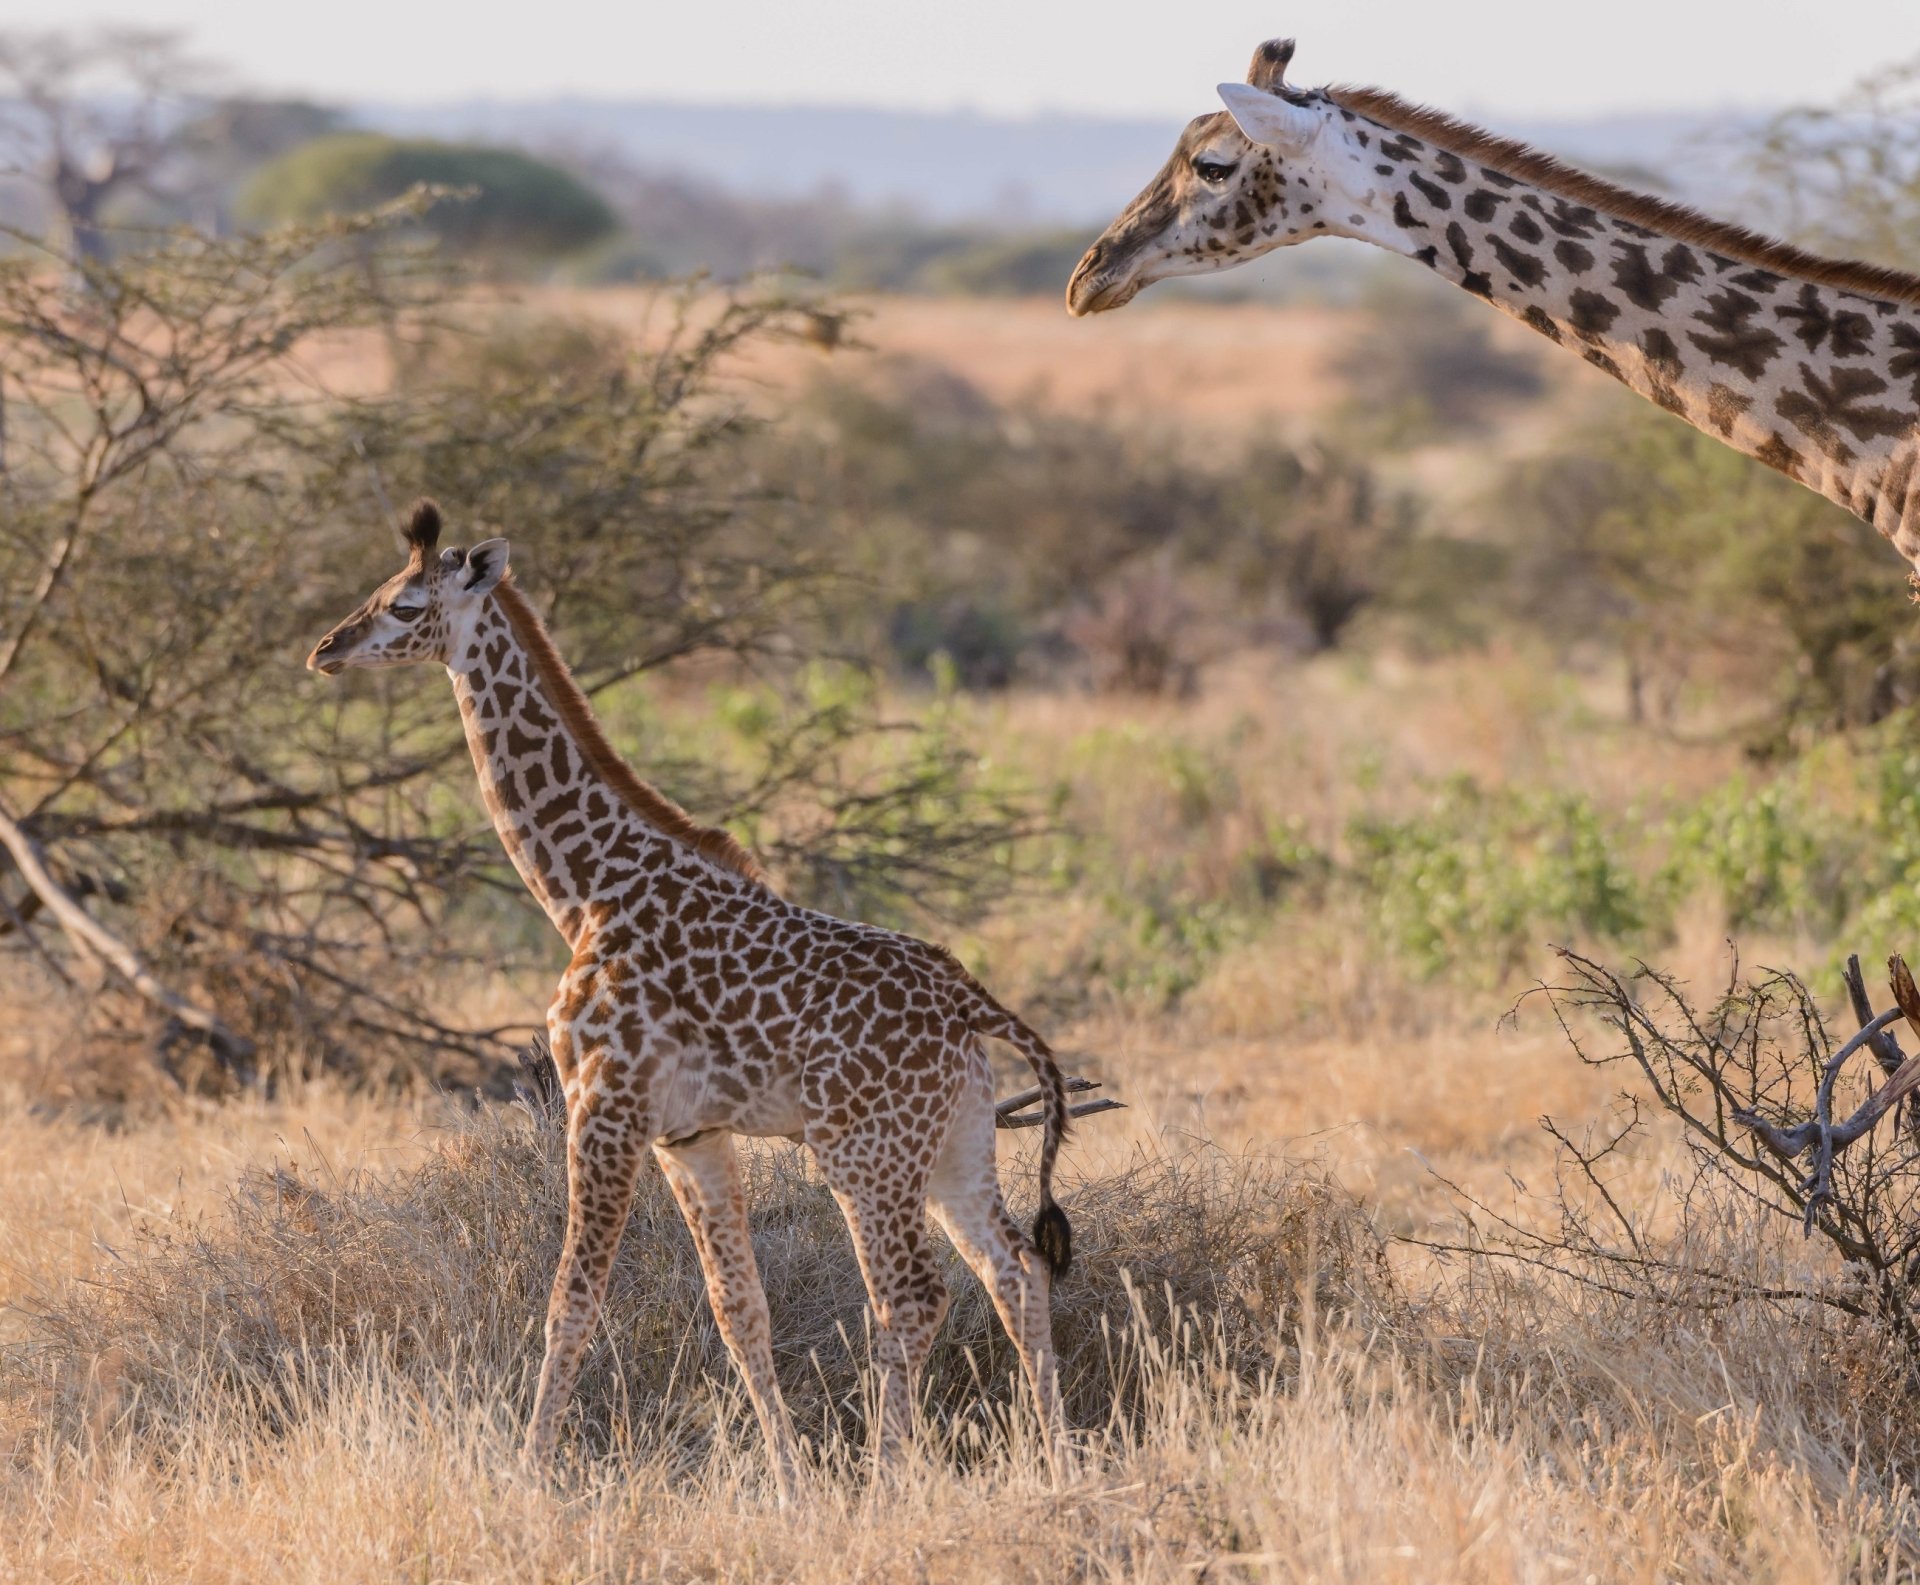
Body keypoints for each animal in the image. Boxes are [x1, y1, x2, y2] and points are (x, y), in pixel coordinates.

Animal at [305, 501, 1074, 1493]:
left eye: (404, 604)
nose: (326, 647)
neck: (585, 888)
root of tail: (973, 1005)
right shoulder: (690, 1134)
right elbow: (737, 1309)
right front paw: (789, 1487)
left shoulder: (603, 1104)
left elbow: (571, 1299)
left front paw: (527, 1476)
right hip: (955, 1144)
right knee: (1015, 1271)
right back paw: (1062, 1466)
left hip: (866, 1153)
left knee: (912, 1294)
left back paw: (885, 1480)